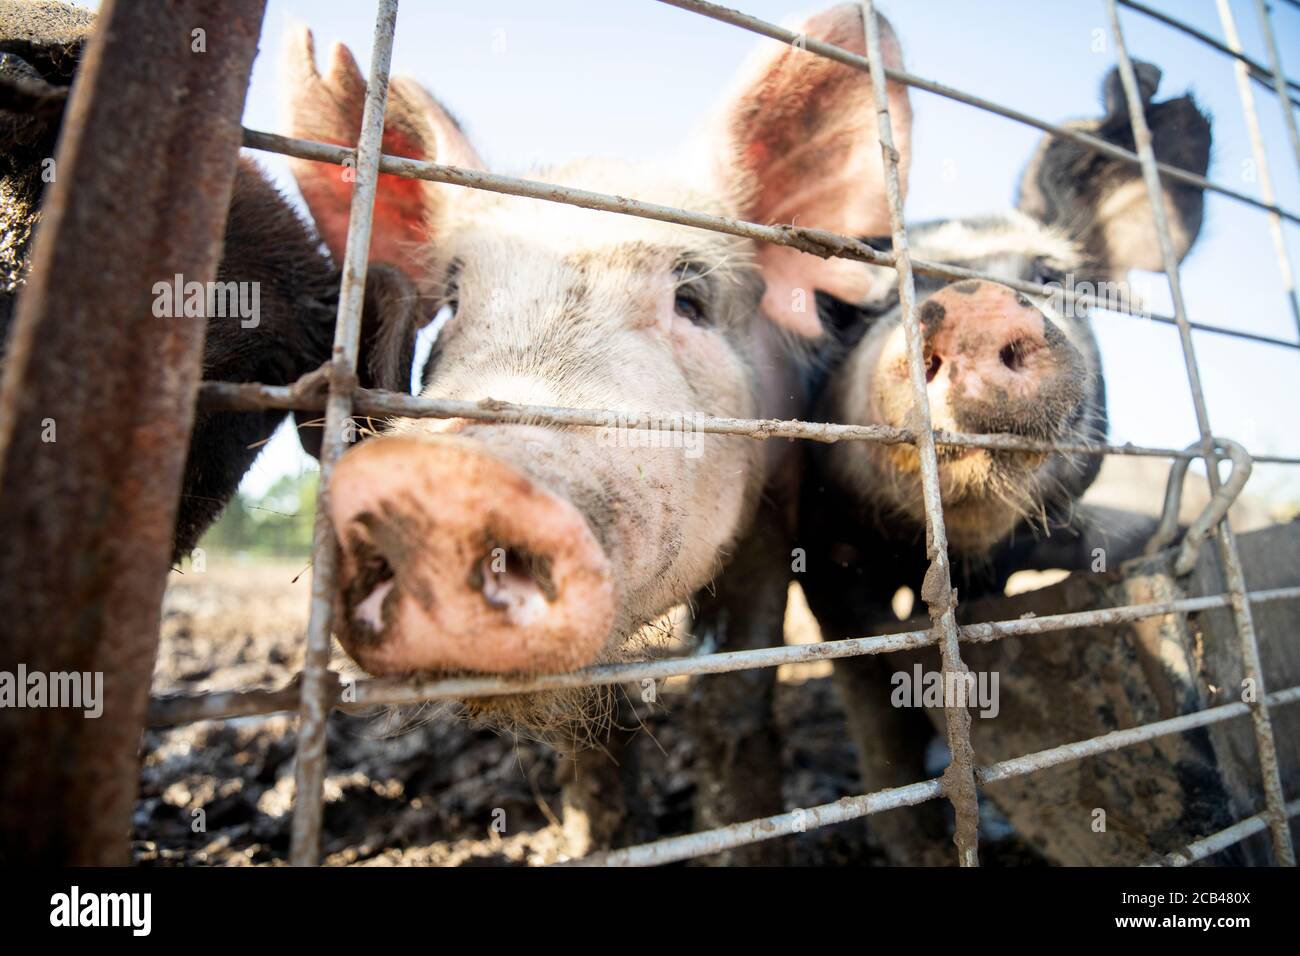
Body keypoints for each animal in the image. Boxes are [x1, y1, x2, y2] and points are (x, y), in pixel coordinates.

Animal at [797, 62, 1212, 864]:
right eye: (863, 311)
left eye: (1049, 273)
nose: (976, 300)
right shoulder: (828, 557)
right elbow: (877, 708)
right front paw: (921, 845)